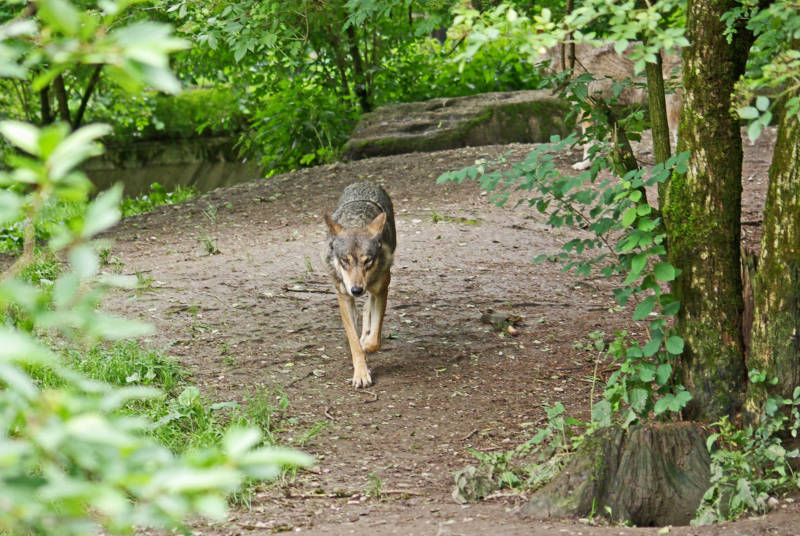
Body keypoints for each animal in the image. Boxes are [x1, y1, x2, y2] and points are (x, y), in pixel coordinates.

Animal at [323, 182, 396, 388]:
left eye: (367, 260)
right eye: (344, 260)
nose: (357, 290)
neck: (356, 221)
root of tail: (366, 182)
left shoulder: (381, 291)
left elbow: (374, 341)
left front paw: (367, 344)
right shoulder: (344, 297)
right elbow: (354, 344)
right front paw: (361, 373)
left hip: (376, 290)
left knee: (367, 308)